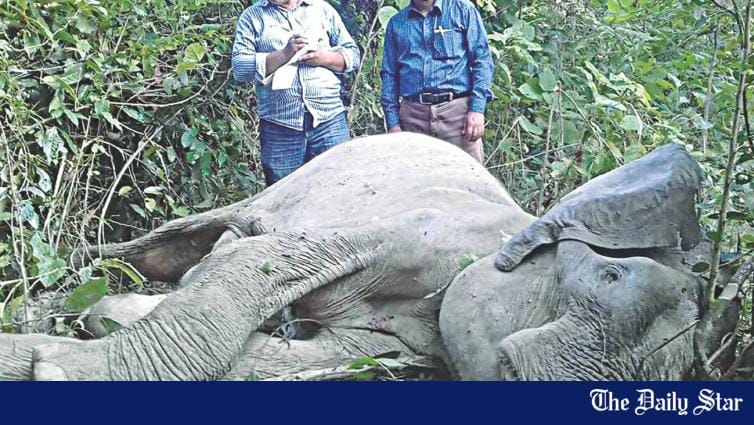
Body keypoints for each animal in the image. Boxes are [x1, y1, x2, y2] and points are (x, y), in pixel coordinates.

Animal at [0, 133, 735, 381]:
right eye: (610, 273)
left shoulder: (402, 347)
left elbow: (285, 359)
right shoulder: (417, 230)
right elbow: (257, 263)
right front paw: (46, 365)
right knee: (173, 243)